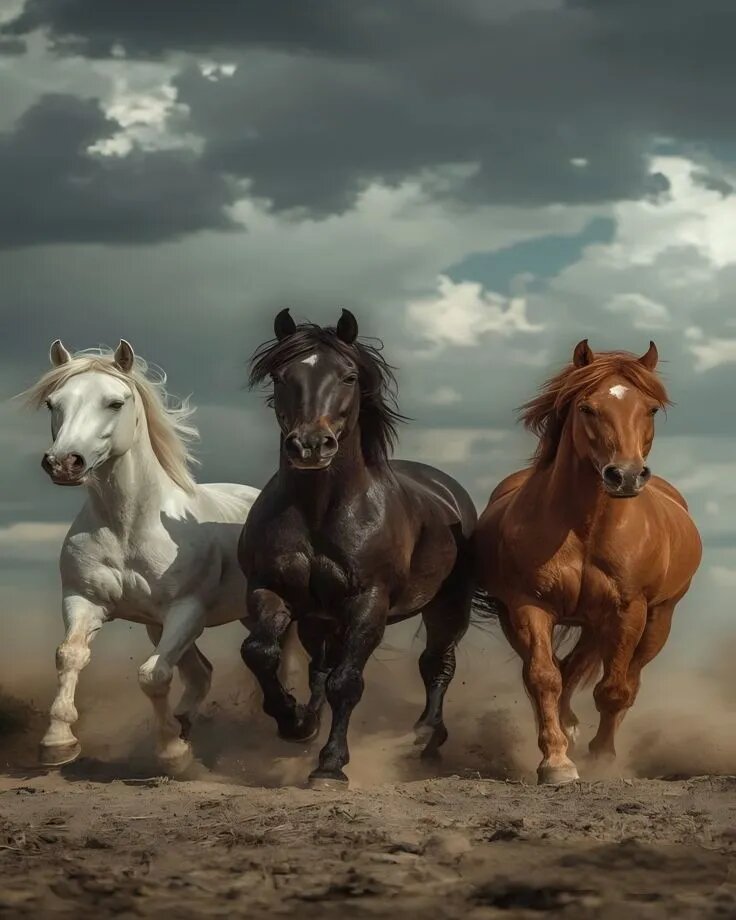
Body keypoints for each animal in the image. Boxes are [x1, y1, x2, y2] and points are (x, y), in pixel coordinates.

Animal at [23, 339, 270, 774]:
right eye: (54, 403)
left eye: (115, 402)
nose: (64, 463)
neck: (129, 527)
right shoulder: (84, 600)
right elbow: (70, 656)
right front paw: (58, 742)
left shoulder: (187, 610)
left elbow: (152, 676)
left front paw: (171, 753)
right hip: (163, 626)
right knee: (201, 675)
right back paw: (186, 724)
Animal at [237, 308, 477, 788]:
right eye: (280, 376)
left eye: (348, 376)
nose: (311, 445)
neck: (320, 511)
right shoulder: (272, 590)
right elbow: (261, 652)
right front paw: (293, 722)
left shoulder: (369, 602)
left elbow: (347, 682)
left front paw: (331, 766)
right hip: (321, 620)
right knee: (320, 667)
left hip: (448, 606)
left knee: (437, 665)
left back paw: (425, 739)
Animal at [474, 339, 702, 785]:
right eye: (587, 408)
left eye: (650, 409)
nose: (625, 476)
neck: (585, 528)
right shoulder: (529, 606)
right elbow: (544, 678)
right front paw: (557, 762)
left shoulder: (627, 610)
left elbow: (613, 690)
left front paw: (603, 759)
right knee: (562, 671)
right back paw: (567, 730)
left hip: (655, 621)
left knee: (627, 680)